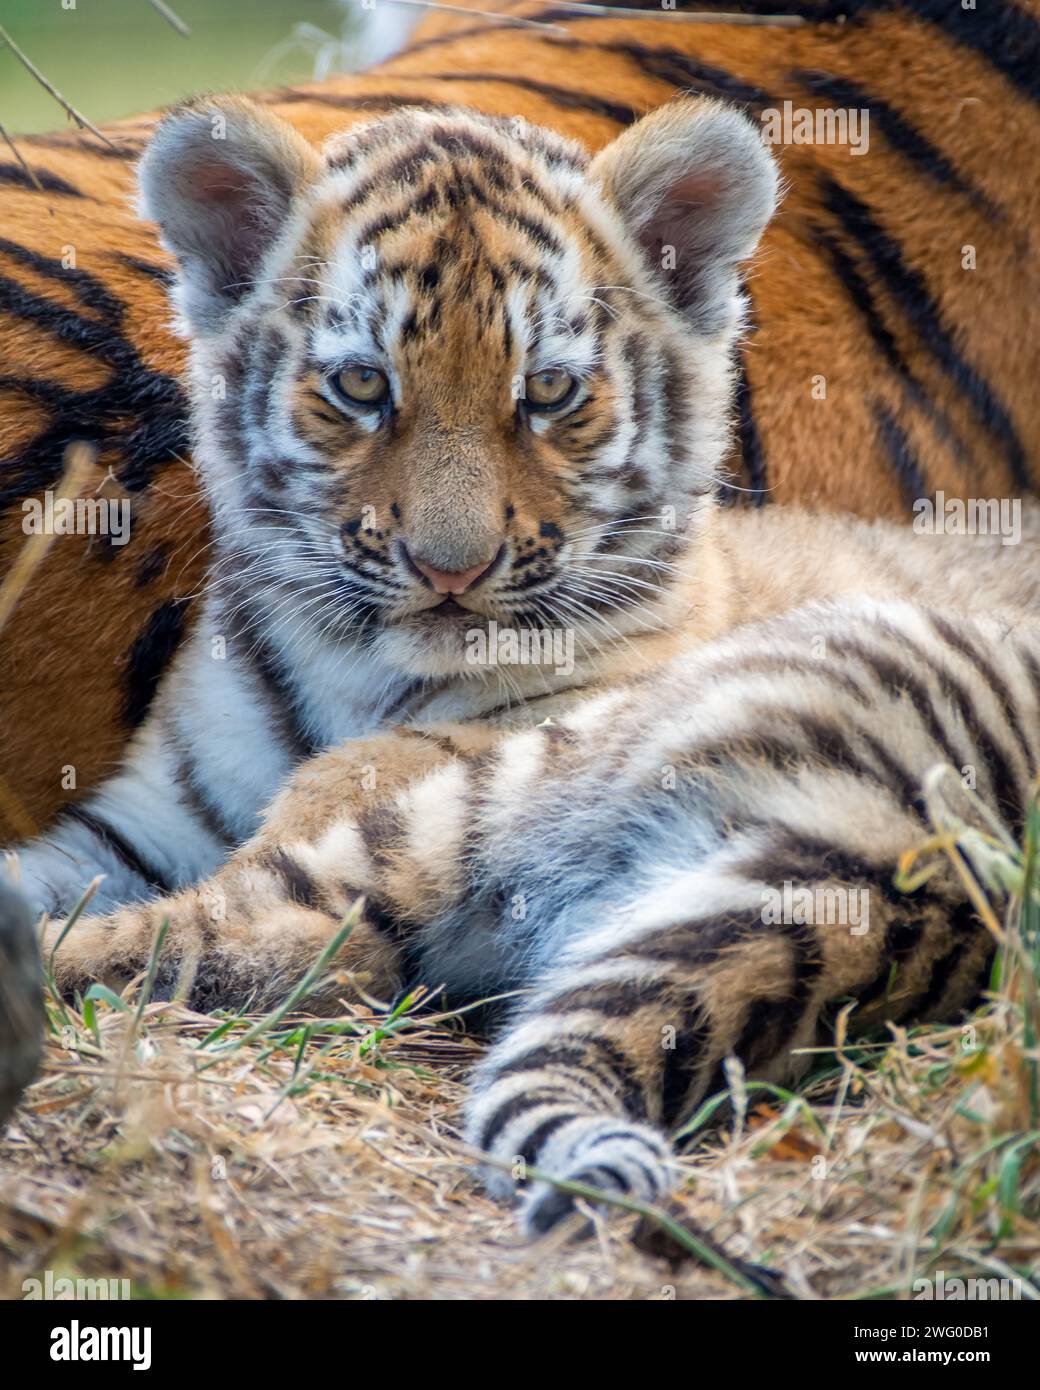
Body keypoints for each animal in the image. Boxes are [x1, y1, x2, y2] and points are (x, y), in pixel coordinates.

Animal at [3, 87, 1040, 1233]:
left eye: (547, 391)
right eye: (361, 385)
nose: (448, 567)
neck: (349, 669)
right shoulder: (142, 822)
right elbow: (60, 867)